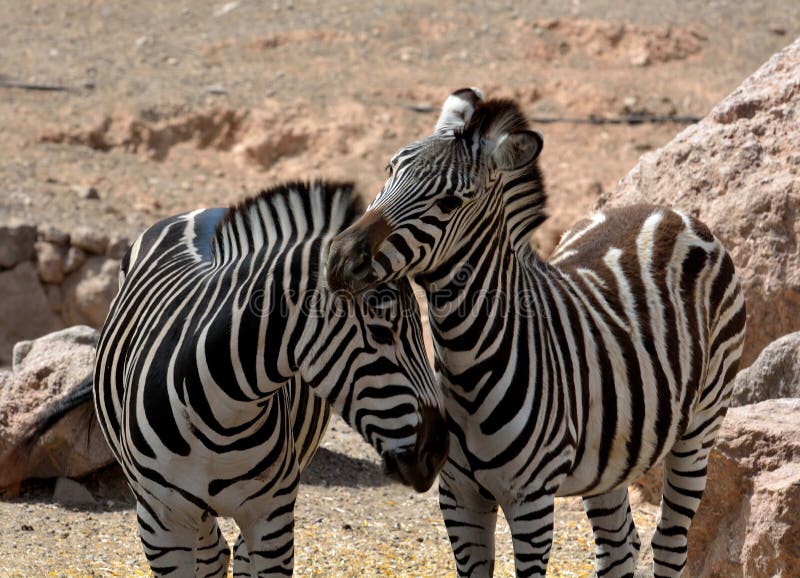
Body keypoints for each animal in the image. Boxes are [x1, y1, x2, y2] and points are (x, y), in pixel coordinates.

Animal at [93, 180, 448, 577]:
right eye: (381, 332)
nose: (438, 452)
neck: (220, 415)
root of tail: (204, 210)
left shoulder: (272, 517)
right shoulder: (161, 523)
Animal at [327, 89, 747, 578]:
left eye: (450, 202)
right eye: (390, 168)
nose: (339, 258)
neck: (467, 362)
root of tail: (668, 210)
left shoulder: (531, 502)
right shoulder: (458, 499)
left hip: (702, 422)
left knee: (671, 542)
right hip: (613, 451)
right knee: (619, 545)